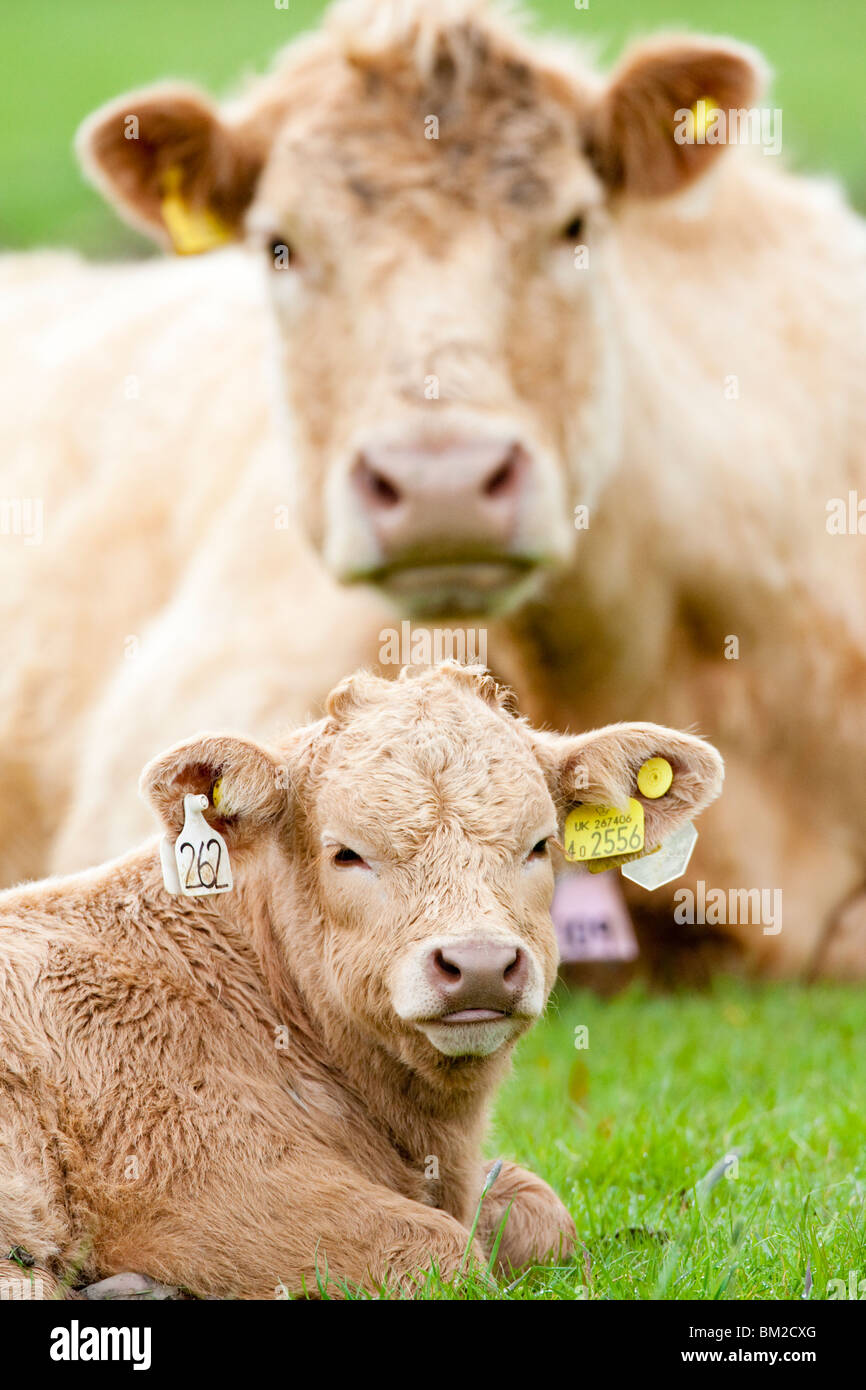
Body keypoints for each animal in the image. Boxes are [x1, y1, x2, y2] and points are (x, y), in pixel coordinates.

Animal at [0, 663, 724, 1298]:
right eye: (346, 852)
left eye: (541, 845)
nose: (480, 964)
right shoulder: (198, 1182)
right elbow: (444, 1255)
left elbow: (544, 1215)